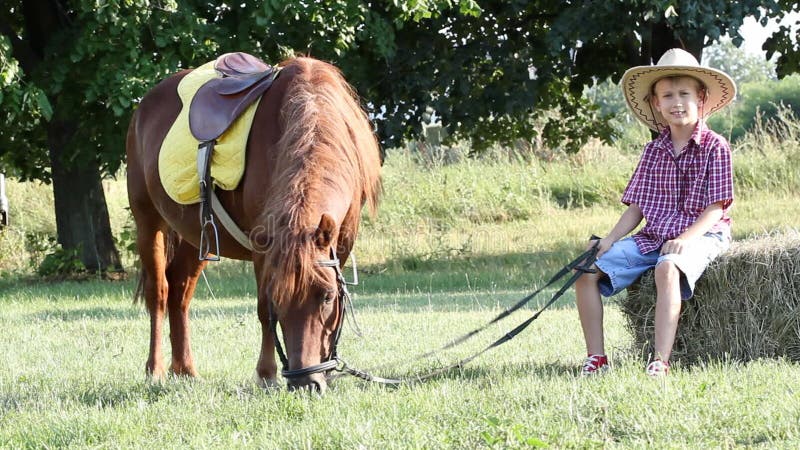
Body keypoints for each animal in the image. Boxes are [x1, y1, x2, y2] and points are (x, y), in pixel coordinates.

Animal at [125, 56, 382, 392]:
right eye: (279, 298)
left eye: (327, 296)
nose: (306, 382)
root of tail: (144, 106)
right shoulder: (264, 246)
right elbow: (262, 311)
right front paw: (266, 374)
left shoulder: (341, 243)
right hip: (148, 222)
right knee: (159, 292)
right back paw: (154, 369)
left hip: (198, 236)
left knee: (180, 292)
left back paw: (185, 369)